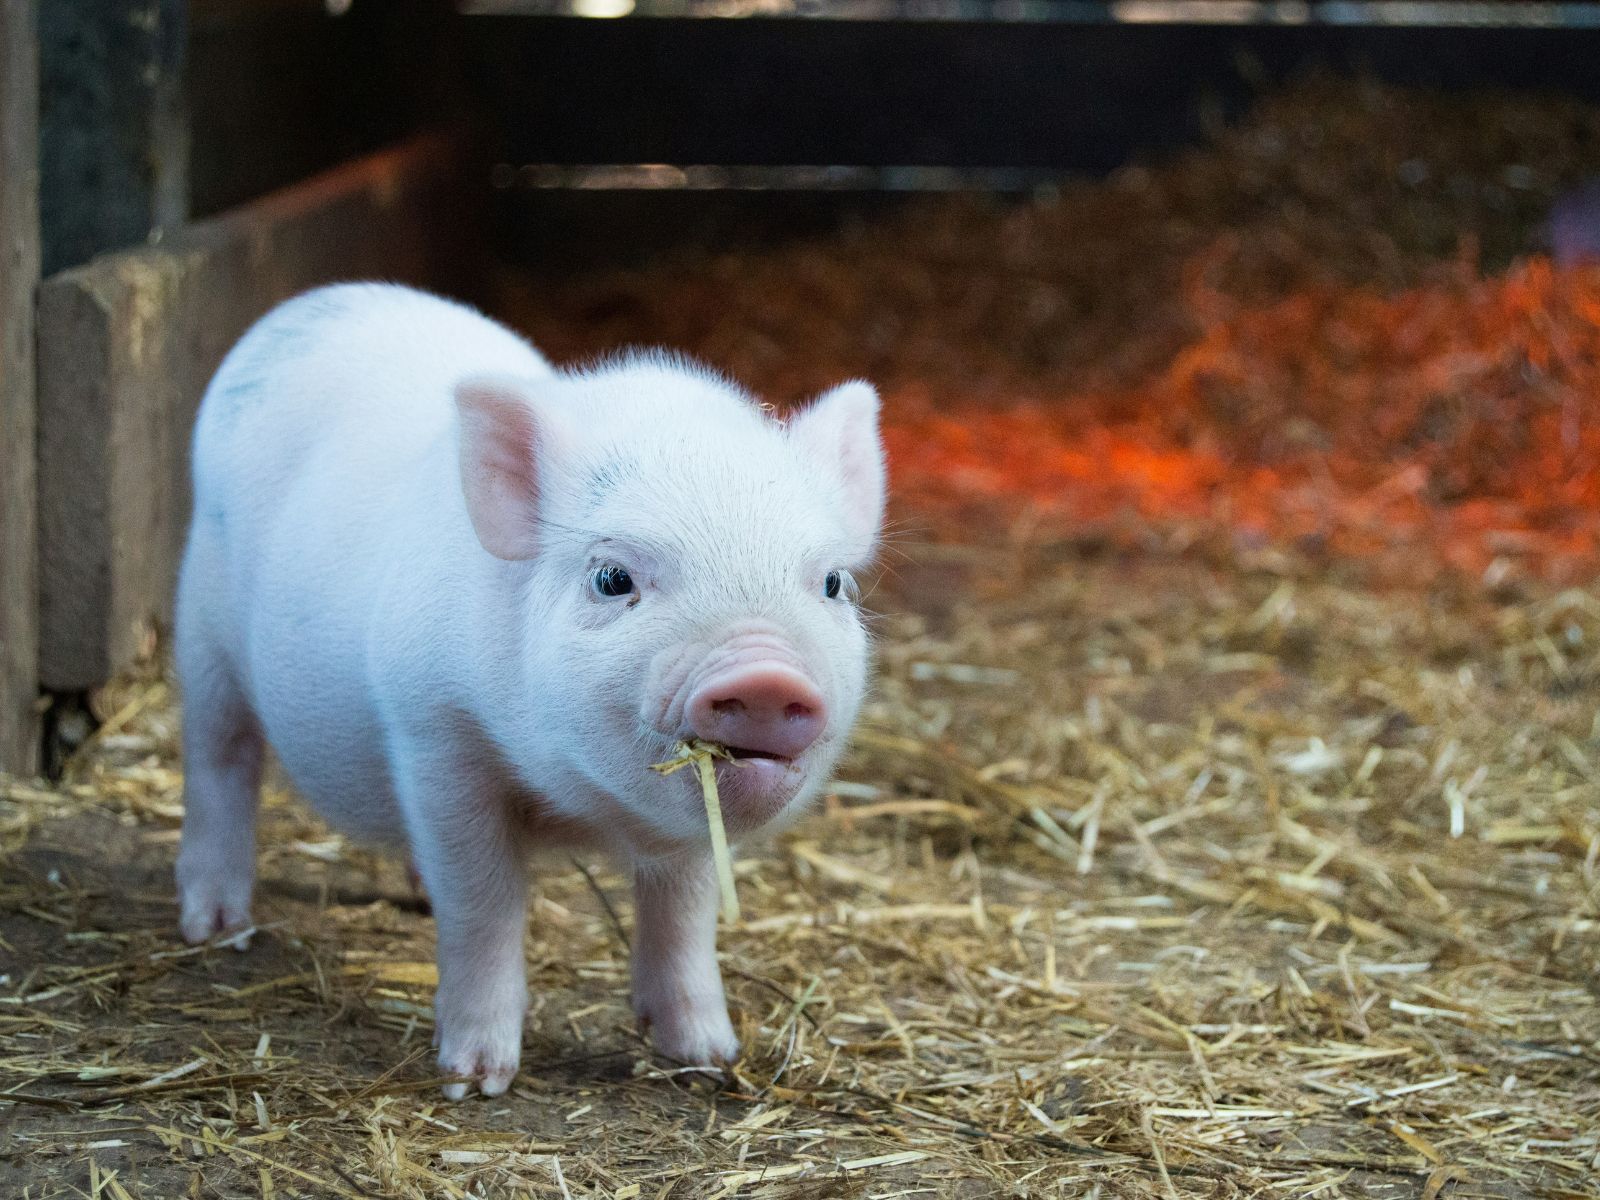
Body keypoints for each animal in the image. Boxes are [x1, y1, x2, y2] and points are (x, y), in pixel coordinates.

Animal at [173, 282, 885, 1097]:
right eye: (612, 578)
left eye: (832, 583)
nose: (765, 674)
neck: (578, 807)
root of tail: (313, 303)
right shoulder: (433, 733)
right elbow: (483, 902)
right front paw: (474, 1080)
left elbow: (684, 911)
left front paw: (709, 1058)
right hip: (201, 628)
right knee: (220, 757)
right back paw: (215, 928)